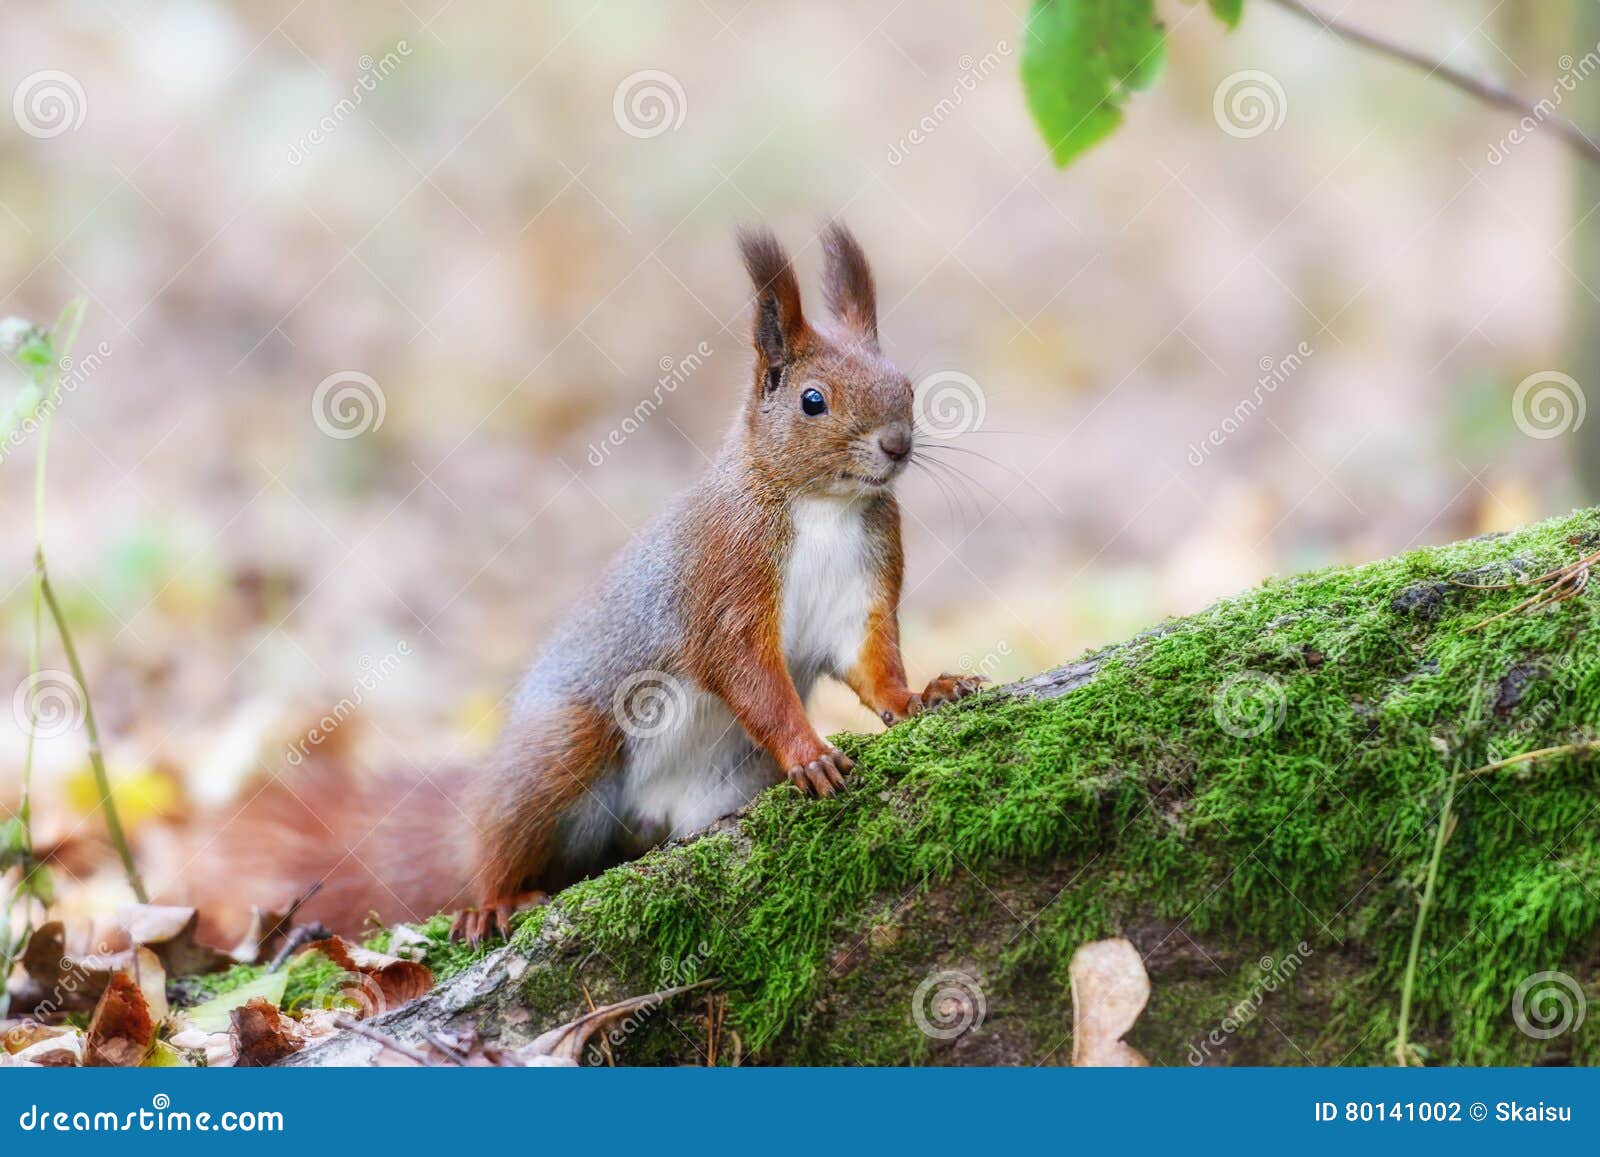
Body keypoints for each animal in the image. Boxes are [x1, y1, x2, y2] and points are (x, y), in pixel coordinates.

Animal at [198, 222, 982, 945]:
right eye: (813, 401)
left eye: (907, 385)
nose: (896, 445)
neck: (822, 505)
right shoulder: (723, 577)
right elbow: (748, 673)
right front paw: (810, 752)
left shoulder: (864, 584)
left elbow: (872, 662)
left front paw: (923, 695)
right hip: (568, 746)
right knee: (497, 841)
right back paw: (494, 901)